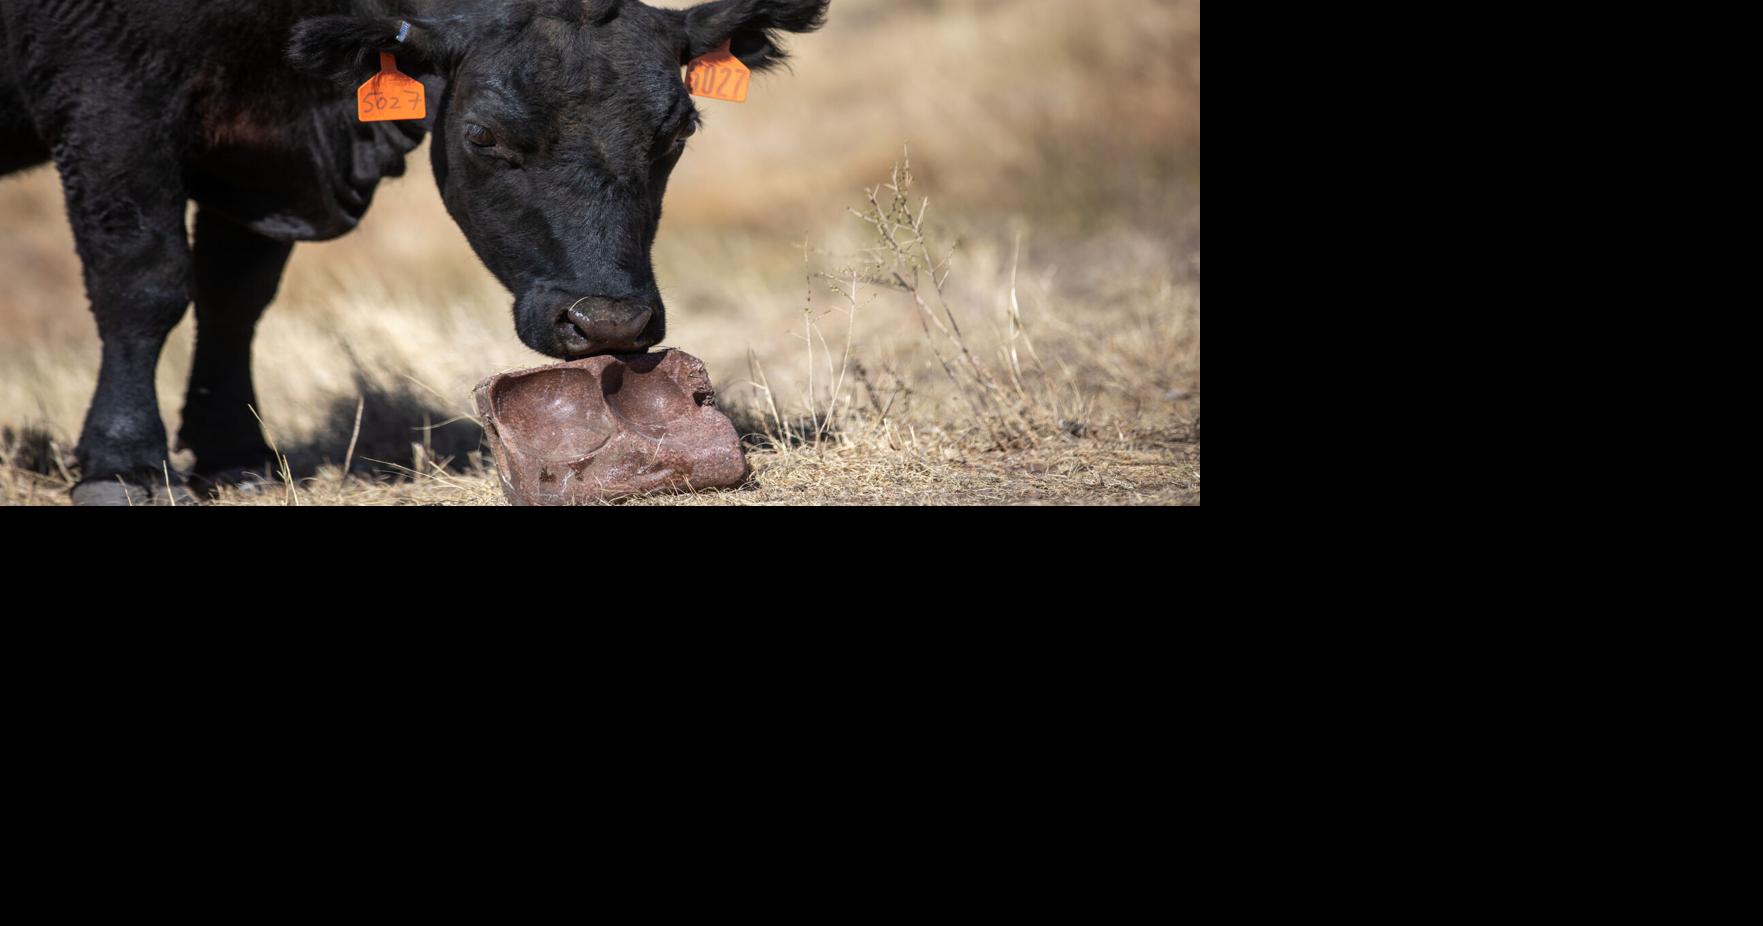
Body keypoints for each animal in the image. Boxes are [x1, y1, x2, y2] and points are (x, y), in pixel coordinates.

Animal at [0, 0, 829, 504]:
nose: (609, 322)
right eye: (482, 135)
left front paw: (236, 453)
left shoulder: (252, 159)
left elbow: (234, 299)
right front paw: (125, 462)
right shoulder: (109, 99)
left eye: (678, 130)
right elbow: (144, 279)